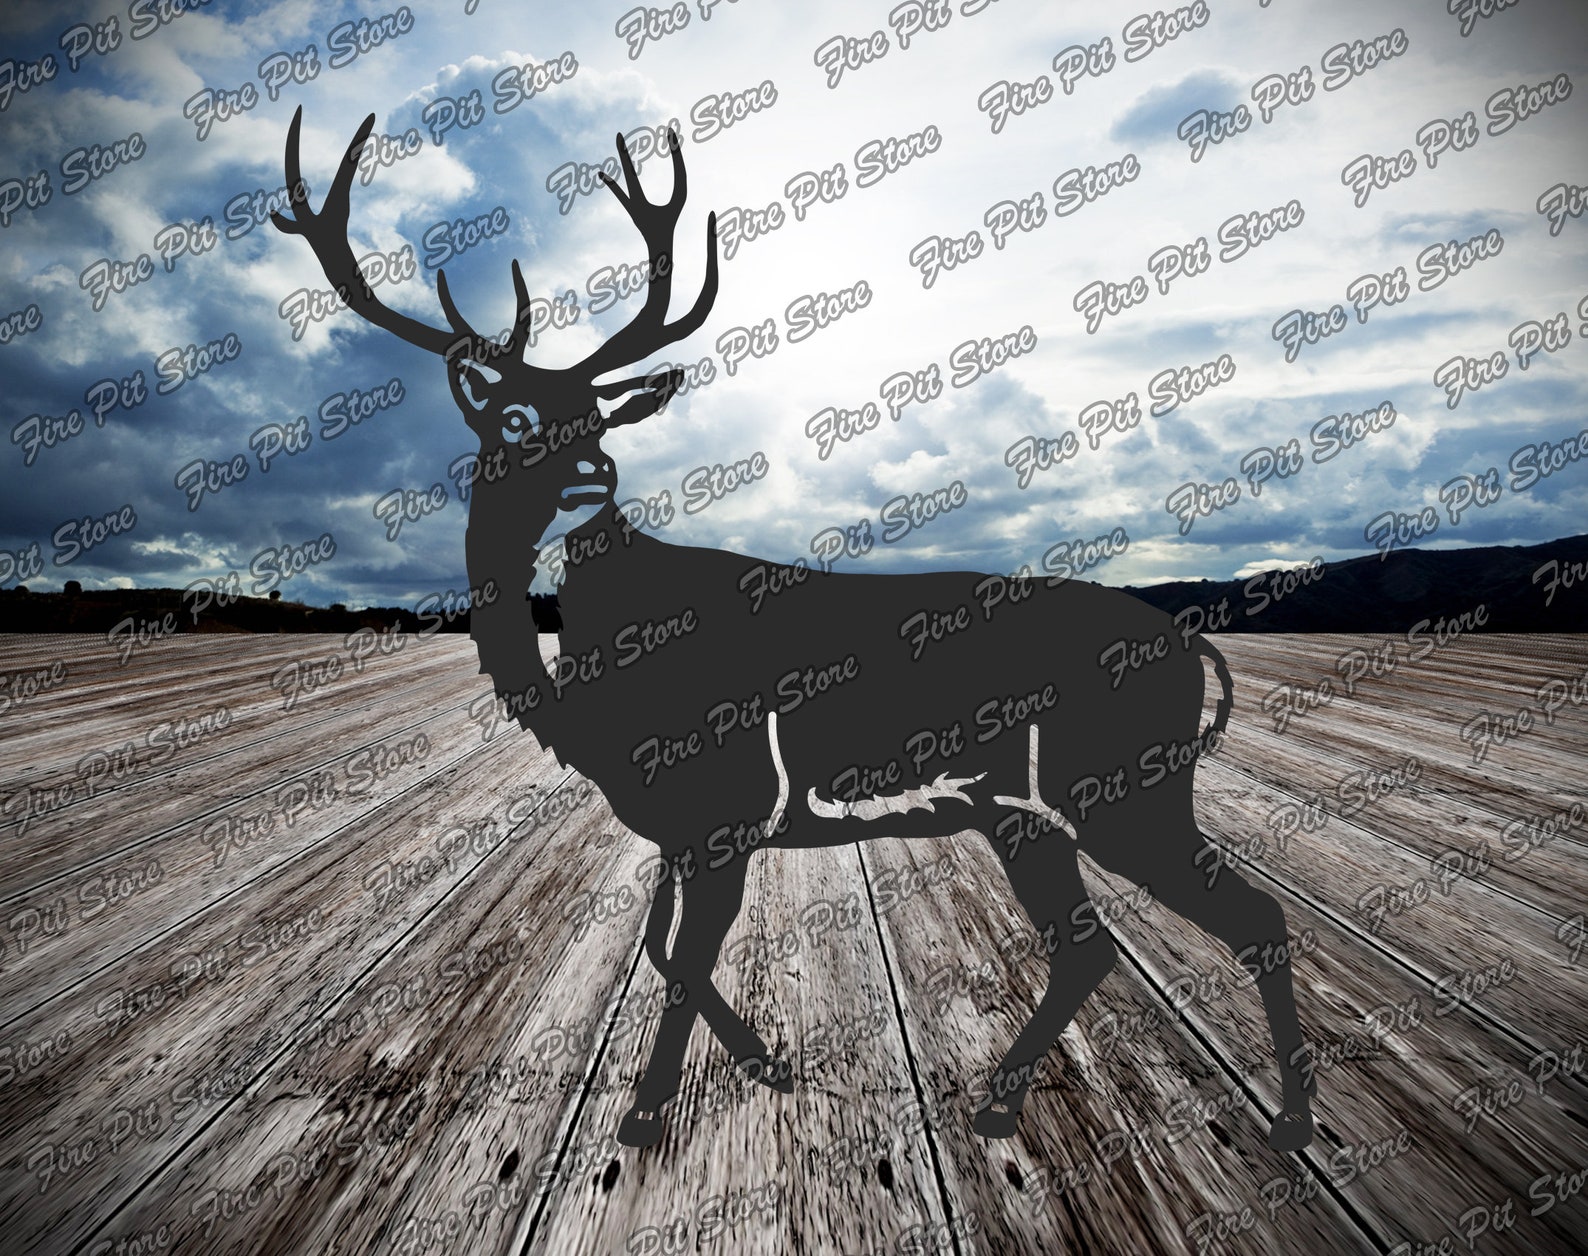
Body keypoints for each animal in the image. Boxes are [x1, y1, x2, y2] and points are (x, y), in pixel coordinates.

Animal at [272, 107, 1317, 1154]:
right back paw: (1000, 1099)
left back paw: (1291, 1125)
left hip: (1123, 786)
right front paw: (762, 1059)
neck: (599, 701)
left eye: (599, 421)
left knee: (1254, 915)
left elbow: (683, 960)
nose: (596, 479)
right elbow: (661, 948)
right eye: (518, 418)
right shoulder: (680, 827)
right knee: (1092, 945)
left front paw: (649, 1113)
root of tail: (1194, 645)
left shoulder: (730, 808)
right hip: (1032, 814)